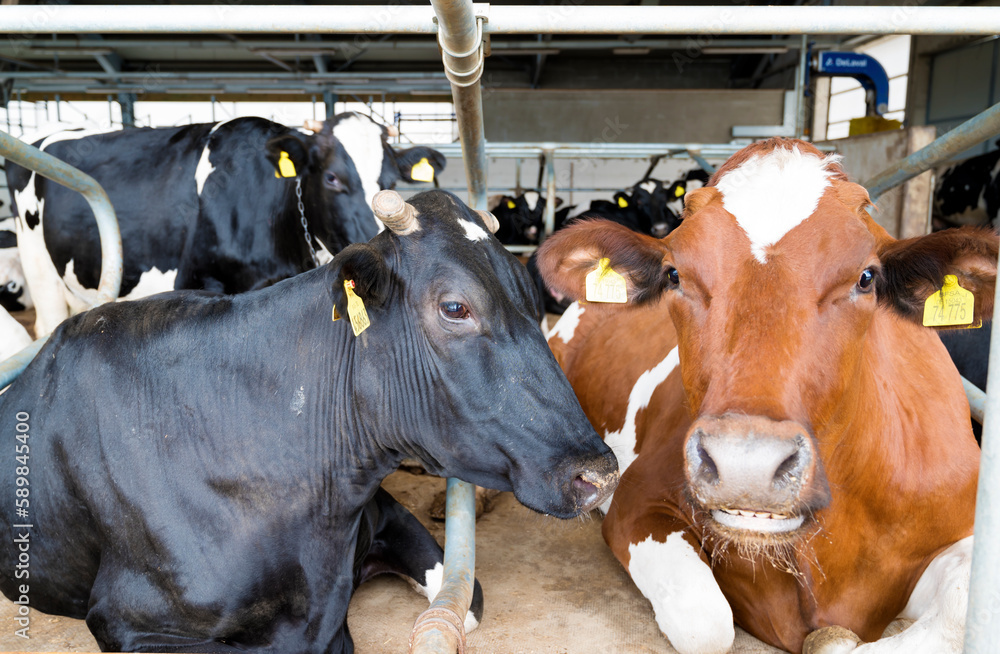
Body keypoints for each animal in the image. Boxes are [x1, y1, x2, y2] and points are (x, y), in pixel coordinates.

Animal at [0, 188, 619, 653]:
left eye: (532, 300)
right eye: (454, 308)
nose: (600, 473)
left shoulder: (386, 517)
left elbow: (463, 604)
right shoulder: (129, 621)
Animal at [538, 138, 994, 654]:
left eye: (866, 278)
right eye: (674, 274)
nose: (746, 465)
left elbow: (959, 609)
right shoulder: (639, 500)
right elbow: (706, 622)